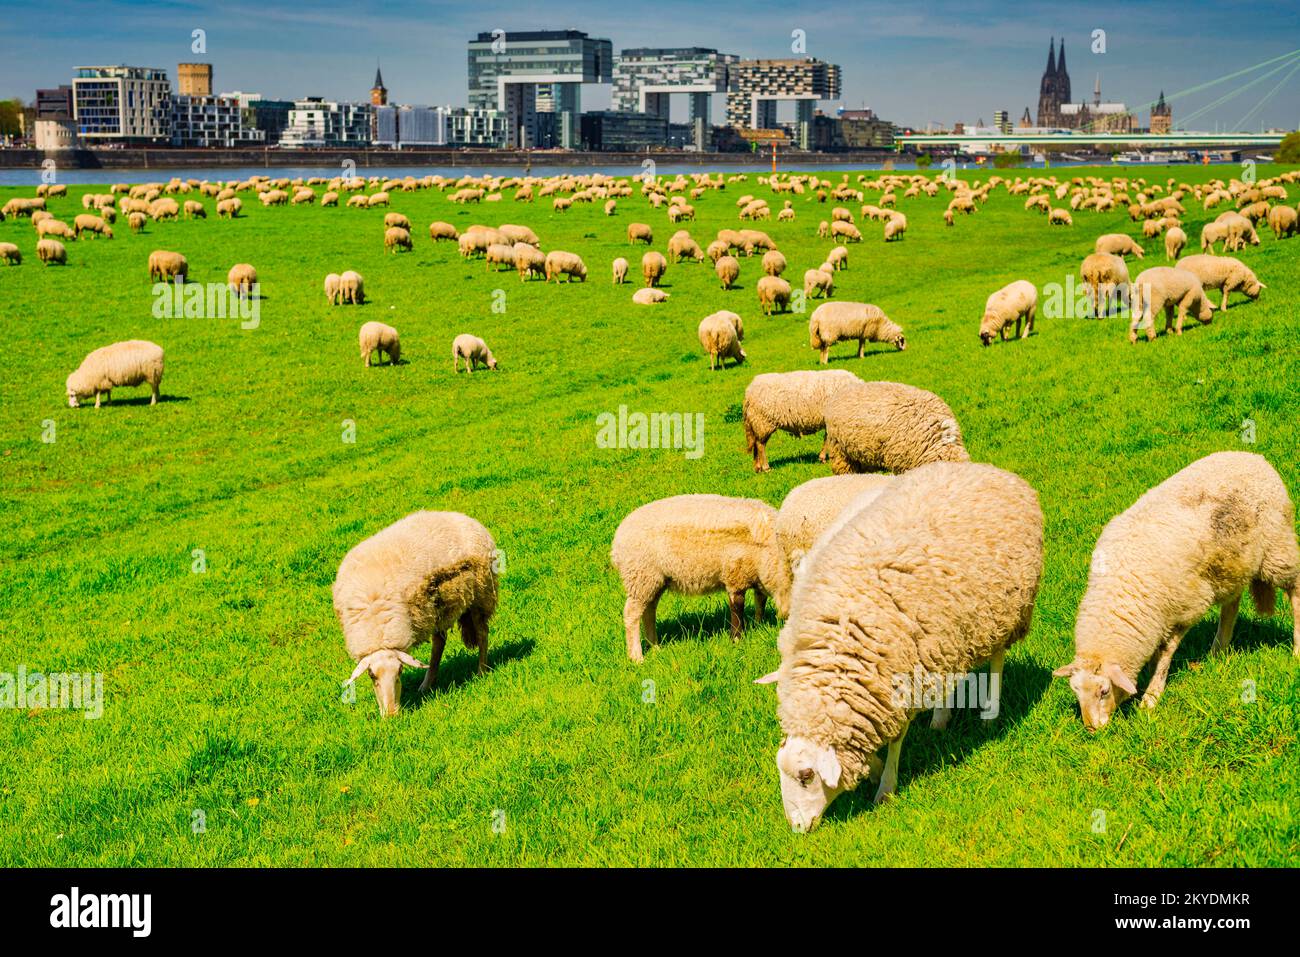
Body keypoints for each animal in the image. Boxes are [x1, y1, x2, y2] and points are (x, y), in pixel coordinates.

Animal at [334, 511, 499, 715]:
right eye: (372, 676)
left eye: (400, 672)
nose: (391, 715)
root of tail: (464, 518)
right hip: (438, 609)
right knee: (439, 643)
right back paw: (426, 685)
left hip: (481, 595)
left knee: (482, 633)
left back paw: (481, 671)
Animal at [610, 495, 790, 663]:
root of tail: (617, 542)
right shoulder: (735, 574)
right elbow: (737, 609)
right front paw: (736, 640)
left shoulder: (756, 575)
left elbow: (760, 603)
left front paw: (759, 625)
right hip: (640, 575)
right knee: (632, 614)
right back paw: (636, 656)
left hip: (654, 581)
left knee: (649, 611)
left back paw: (654, 647)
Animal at [757, 460, 1042, 829]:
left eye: (806, 776)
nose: (796, 829)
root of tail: (991, 470)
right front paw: (873, 769)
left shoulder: (898, 678)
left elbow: (896, 740)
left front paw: (886, 786)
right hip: (945, 635)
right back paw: (940, 719)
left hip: (1005, 608)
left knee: (997, 659)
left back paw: (990, 711)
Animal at [1054, 452, 1299, 730]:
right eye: (1075, 691)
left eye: (1104, 691)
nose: (1091, 728)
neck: (1122, 588)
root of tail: (1254, 457)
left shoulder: (1182, 607)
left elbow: (1166, 652)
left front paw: (1151, 696)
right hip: (1233, 562)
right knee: (1231, 605)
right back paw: (1217, 651)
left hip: (1277, 546)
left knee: (1295, 589)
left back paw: (1296, 649)